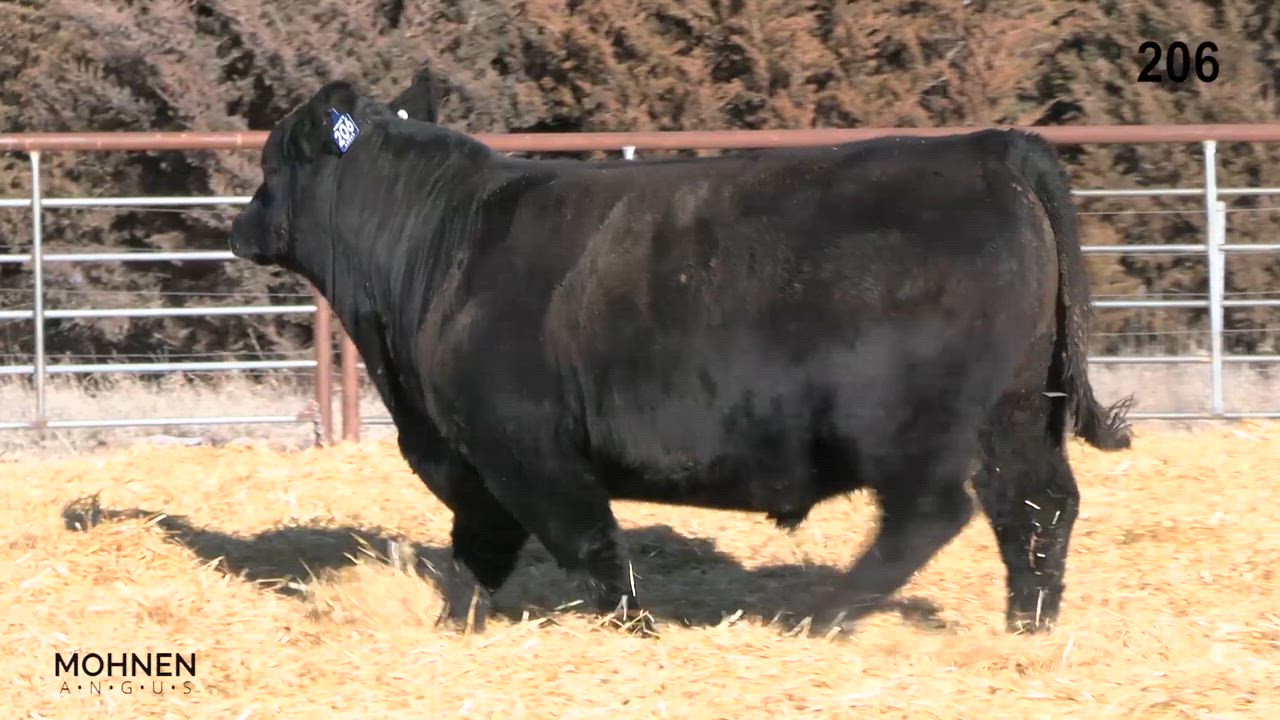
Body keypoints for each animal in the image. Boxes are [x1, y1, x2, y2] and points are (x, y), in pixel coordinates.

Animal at [228, 75, 1132, 635]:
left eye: (273, 162)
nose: (240, 225)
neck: (439, 248)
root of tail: (990, 147)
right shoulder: (472, 457)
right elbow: (481, 551)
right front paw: (457, 623)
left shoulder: (523, 445)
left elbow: (588, 546)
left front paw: (634, 629)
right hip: (1019, 409)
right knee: (1039, 506)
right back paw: (1029, 625)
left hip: (908, 422)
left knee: (935, 513)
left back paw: (826, 614)